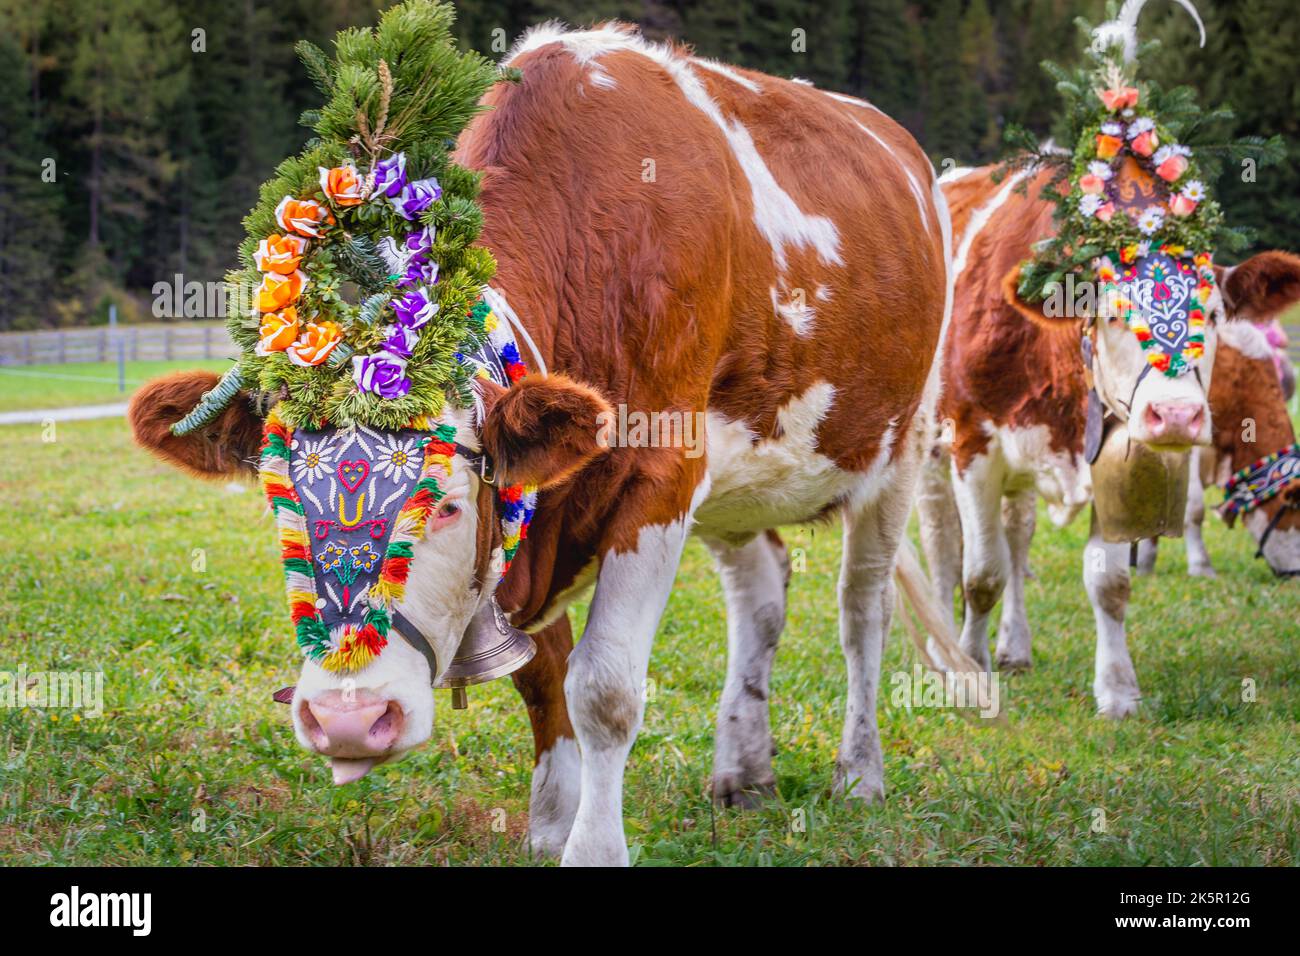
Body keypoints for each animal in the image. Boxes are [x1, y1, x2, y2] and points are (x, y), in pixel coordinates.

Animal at [129, 23, 956, 866]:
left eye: (447, 506)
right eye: (281, 506)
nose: (348, 720)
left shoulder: (664, 474)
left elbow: (604, 688)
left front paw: (593, 846)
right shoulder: (540, 508)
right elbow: (544, 673)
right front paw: (553, 821)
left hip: (902, 446)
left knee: (863, 611)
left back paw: (859, 774)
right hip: (742, 476)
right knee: (759, 593)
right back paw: (744, 771)